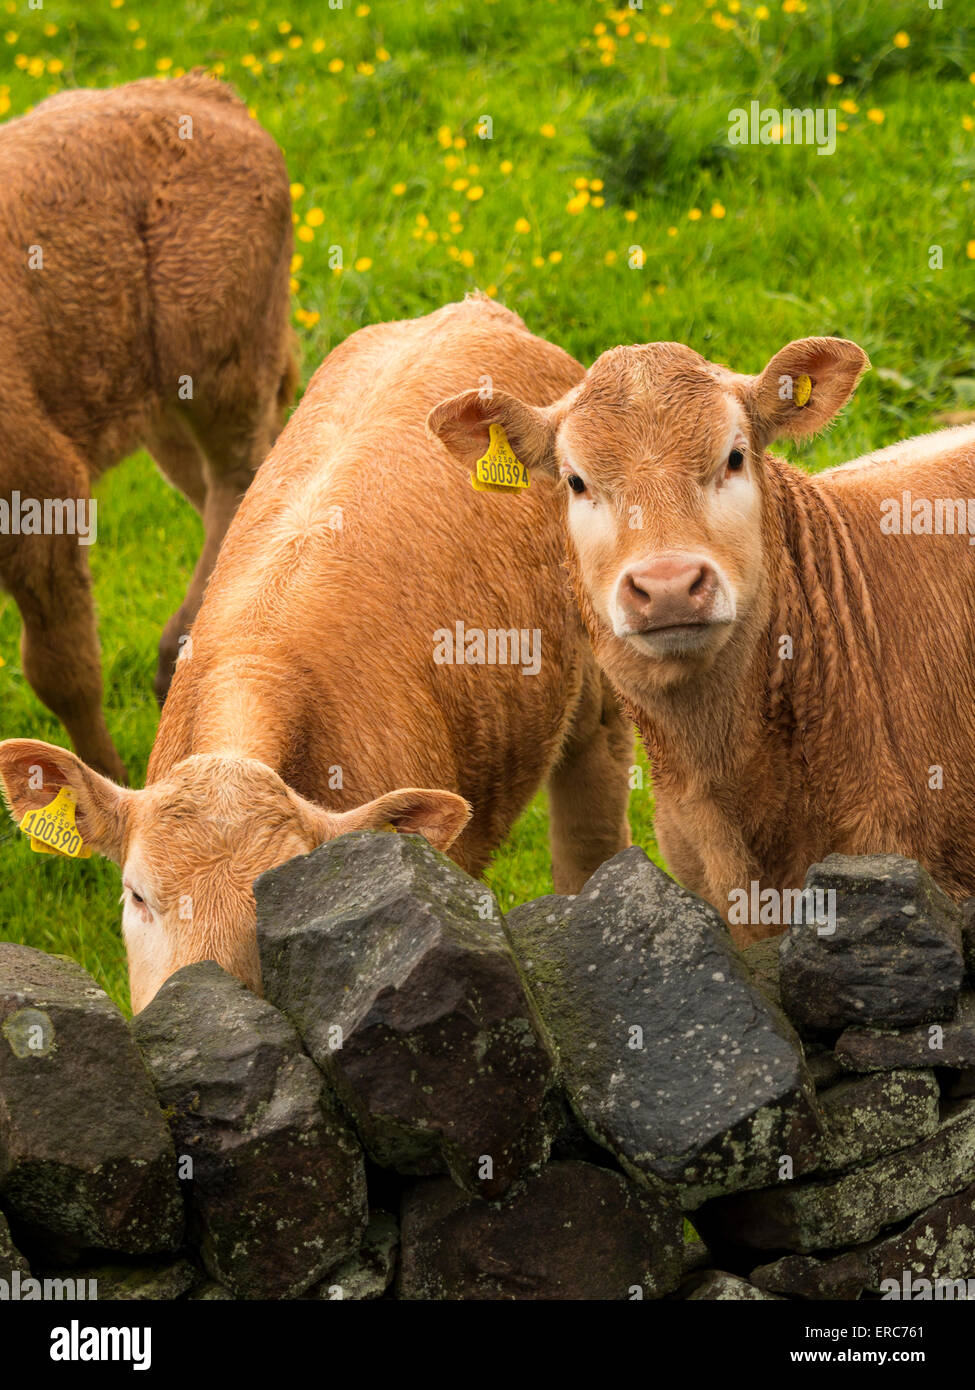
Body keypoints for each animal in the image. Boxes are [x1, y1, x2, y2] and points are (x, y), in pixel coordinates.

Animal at [0, 73, 297, 782]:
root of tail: (205, 92)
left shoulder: (40, 497)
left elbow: (62, 670)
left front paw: (100, 782)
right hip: (166, 406)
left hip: (217, 369)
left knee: (238, 474)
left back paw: (176, 654)